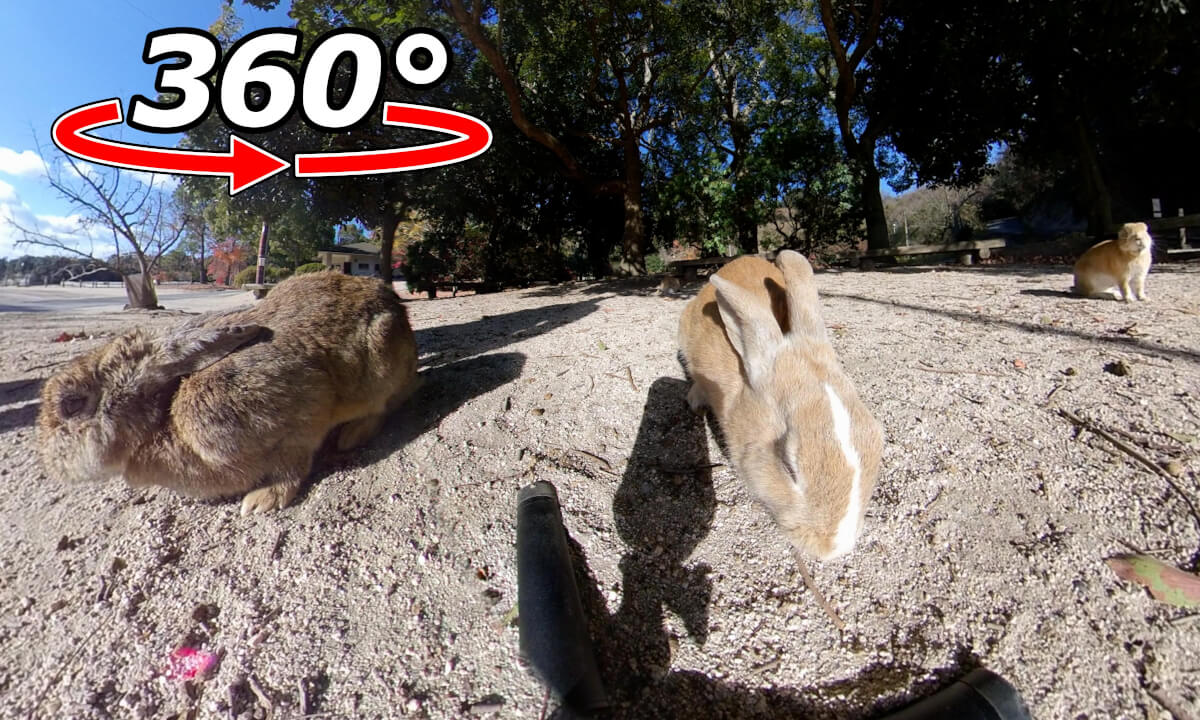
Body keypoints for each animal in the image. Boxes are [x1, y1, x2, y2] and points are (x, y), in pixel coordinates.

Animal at [37, 271, 419, 515]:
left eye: (72, 404)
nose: (53, 468)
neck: (163, 411)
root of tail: (396, 309)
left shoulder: (302, 416)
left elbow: (291, 464)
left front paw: (261, 501)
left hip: (380, 362)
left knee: (385, 405)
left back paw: (351, 435)